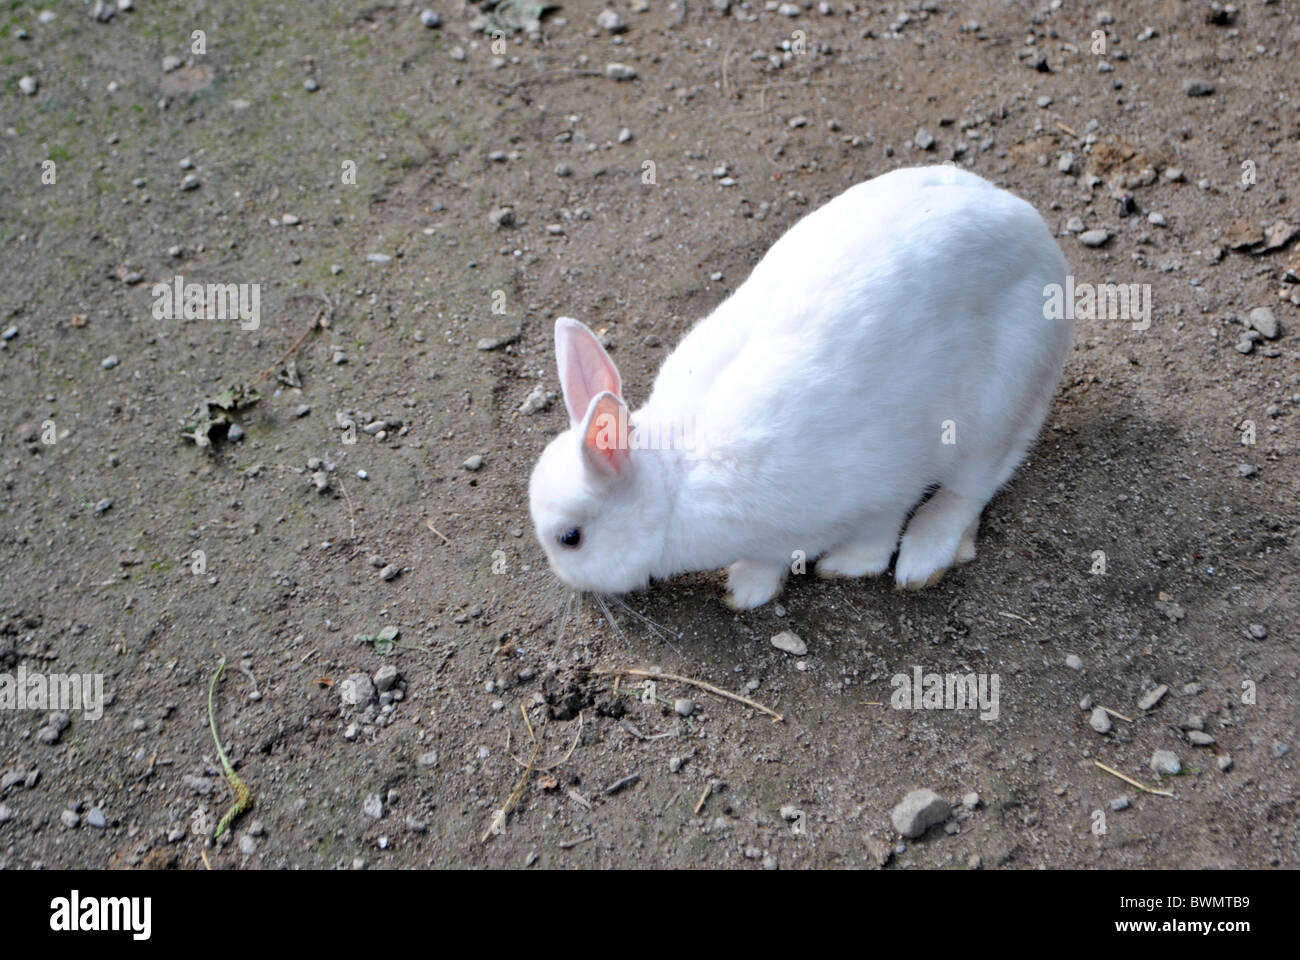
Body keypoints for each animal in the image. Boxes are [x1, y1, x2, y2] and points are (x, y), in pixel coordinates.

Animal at [529, 165, 1071, 609]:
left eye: (571, 538)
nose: (566, 583)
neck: (675, 486)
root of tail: (1040, 241)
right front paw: (747, 584)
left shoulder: (878, 485)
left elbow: (875, 537)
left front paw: (839, 567)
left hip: (996, 403)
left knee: (972, 486)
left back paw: (926, 554)